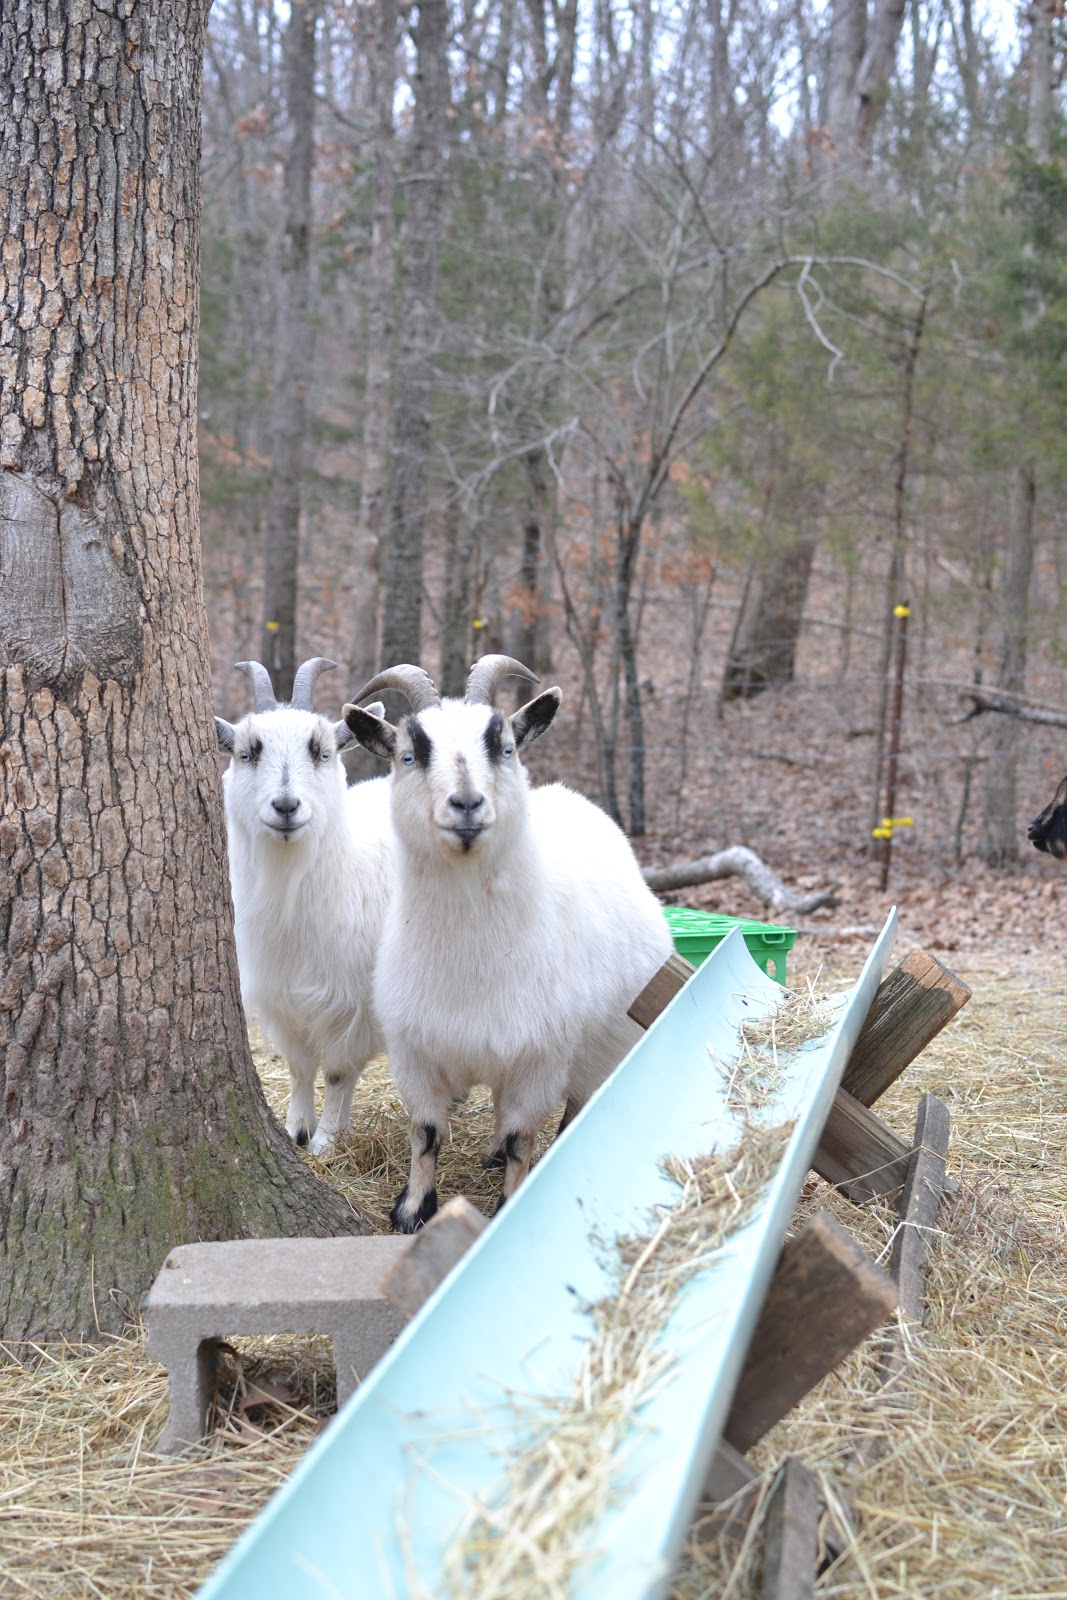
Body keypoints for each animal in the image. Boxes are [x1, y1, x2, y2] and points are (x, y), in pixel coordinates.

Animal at [215, 658, 392, 1155]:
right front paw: (298, 1128)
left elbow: (337, 1072)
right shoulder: (281, 1000)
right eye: (246, 752)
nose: (286, 805)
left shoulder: (356, 1006)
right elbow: (299, 1067)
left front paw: (326, 1143)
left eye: (323, 751)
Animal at [342, 655, 673, 1231]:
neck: (472, 966)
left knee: (577, 1102)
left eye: (505, 748)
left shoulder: (540, 1057)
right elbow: (426, 1132)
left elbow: (523, 1138)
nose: (467, 803)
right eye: (409, 754)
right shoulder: (416, 1052)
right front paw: (412, 1208)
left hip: (600, 1044)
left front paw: (508, 1204)